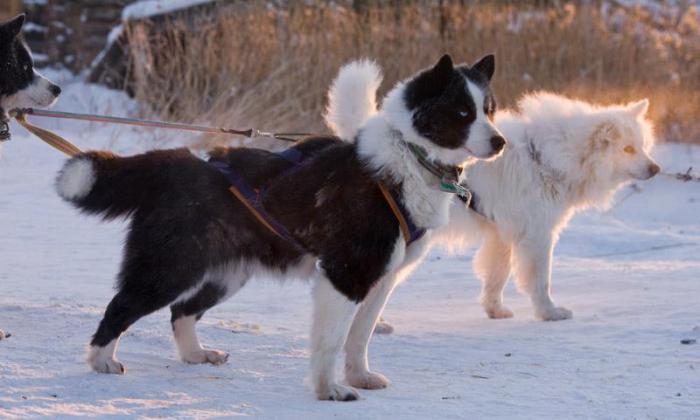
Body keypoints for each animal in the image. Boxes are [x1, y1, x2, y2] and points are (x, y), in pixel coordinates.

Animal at [56, 55, 504, 400]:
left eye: (490, 109)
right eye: (462, 112)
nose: (500, 142)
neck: (409, 156)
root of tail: (177, 162)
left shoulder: (381, 281)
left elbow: (359, 338)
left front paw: (359, 377)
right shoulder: (345, 276)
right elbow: (332, 339)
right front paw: (329, 390)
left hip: (225, 274)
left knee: (181, 312)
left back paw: (196, 354)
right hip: (170, 269)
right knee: (122, 307)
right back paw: (101, 360)